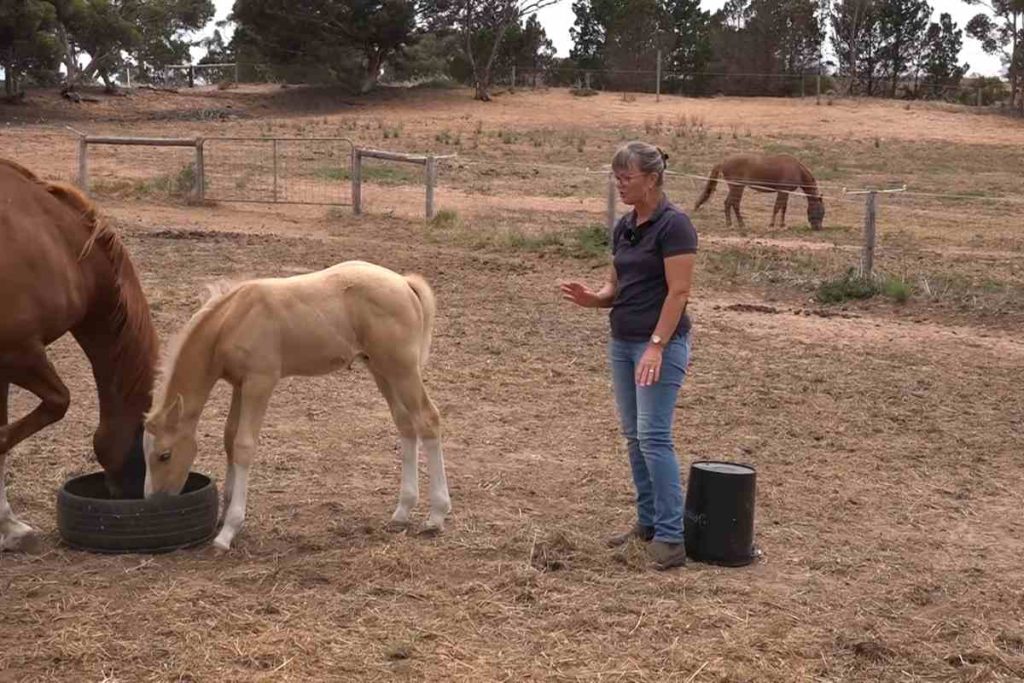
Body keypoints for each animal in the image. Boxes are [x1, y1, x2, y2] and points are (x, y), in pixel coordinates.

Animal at [142, 260, 451, 551]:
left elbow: (243, 445)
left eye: (164, 455)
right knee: (405, 423)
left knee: (427, 419)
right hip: (380, 369)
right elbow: (229, 438)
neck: (232, 320)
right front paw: (224, 514)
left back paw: (436, 515)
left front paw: (228, 530)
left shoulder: (260, 382)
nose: (154, 502)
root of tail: (405, 283)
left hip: (402, 368)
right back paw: (402, 511)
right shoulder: (240, 385)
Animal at [694, 153, 826, 231]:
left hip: (736, 188)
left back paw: (735, 224)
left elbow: (783, 208)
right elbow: (777, 207)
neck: (797, 170)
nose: (818, 228)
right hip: (737, 188)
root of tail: (723, 162)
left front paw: (782, 225)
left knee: (730, 203)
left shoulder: (785, 192)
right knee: (732, 204)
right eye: (821, 211)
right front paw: (771, 225)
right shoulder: (782, 191)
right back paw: (735, 224)